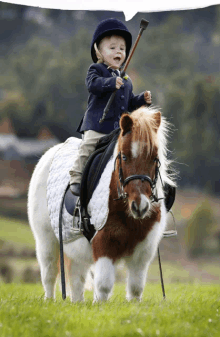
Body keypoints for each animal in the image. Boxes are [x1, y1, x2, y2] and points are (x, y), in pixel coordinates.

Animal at [27, 106, 175, 300]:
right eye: (124, 157)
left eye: (154, 157)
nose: (140, 206)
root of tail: (50, 152)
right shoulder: (104, 245)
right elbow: (103, 288)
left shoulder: (142, 254)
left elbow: (135, 290)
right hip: (46, 241)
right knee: (49, 275)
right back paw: (49, 300)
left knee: (77, 280)